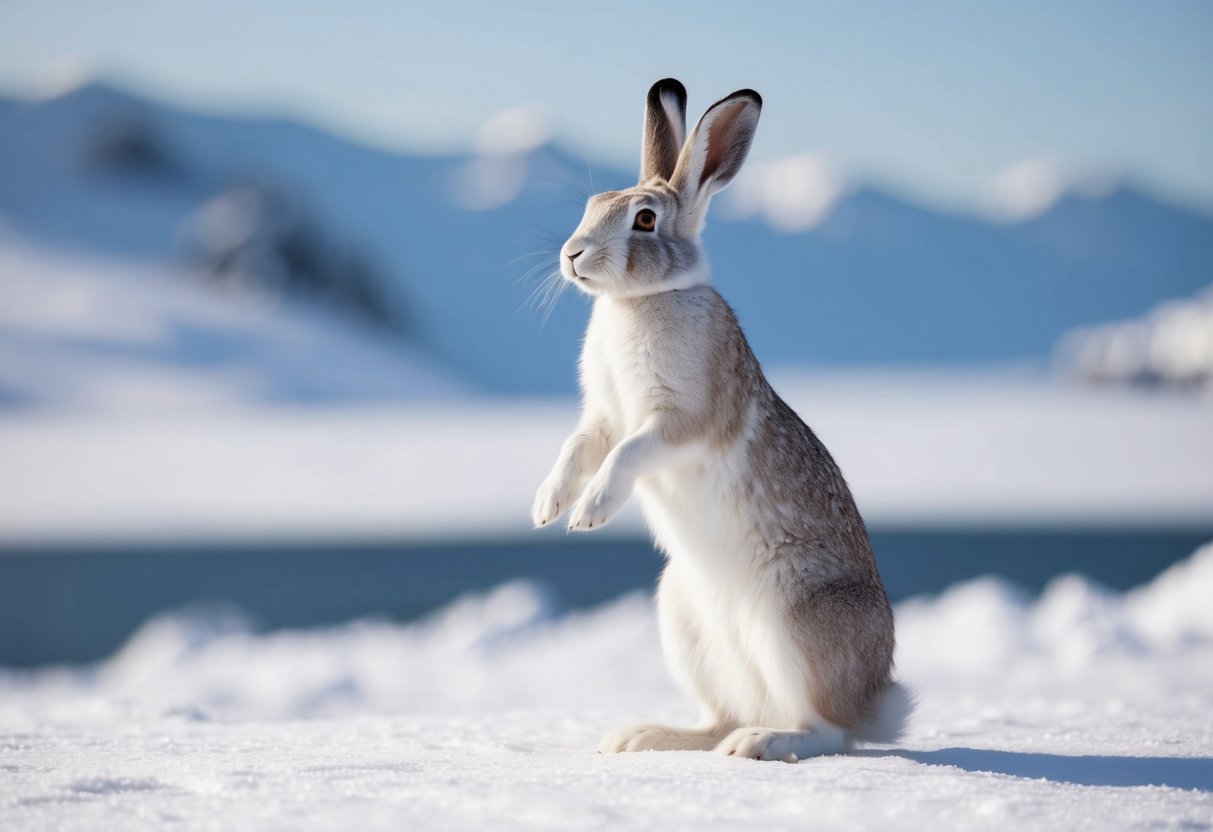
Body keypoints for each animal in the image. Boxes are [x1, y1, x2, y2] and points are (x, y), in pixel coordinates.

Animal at [531, 79, 911, 761]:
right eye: (593, 204)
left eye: (645, 219)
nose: (572, 256)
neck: (642, 301)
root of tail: (877, 703)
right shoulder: (602, 415)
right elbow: (579, 448)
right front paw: (547, 506)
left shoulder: (683, 419)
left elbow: (627, 453)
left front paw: (589, 512)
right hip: (682, 618)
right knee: (720, 717)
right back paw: (642, 736)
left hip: (795, 620)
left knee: (829, 730)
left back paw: (763, 742)